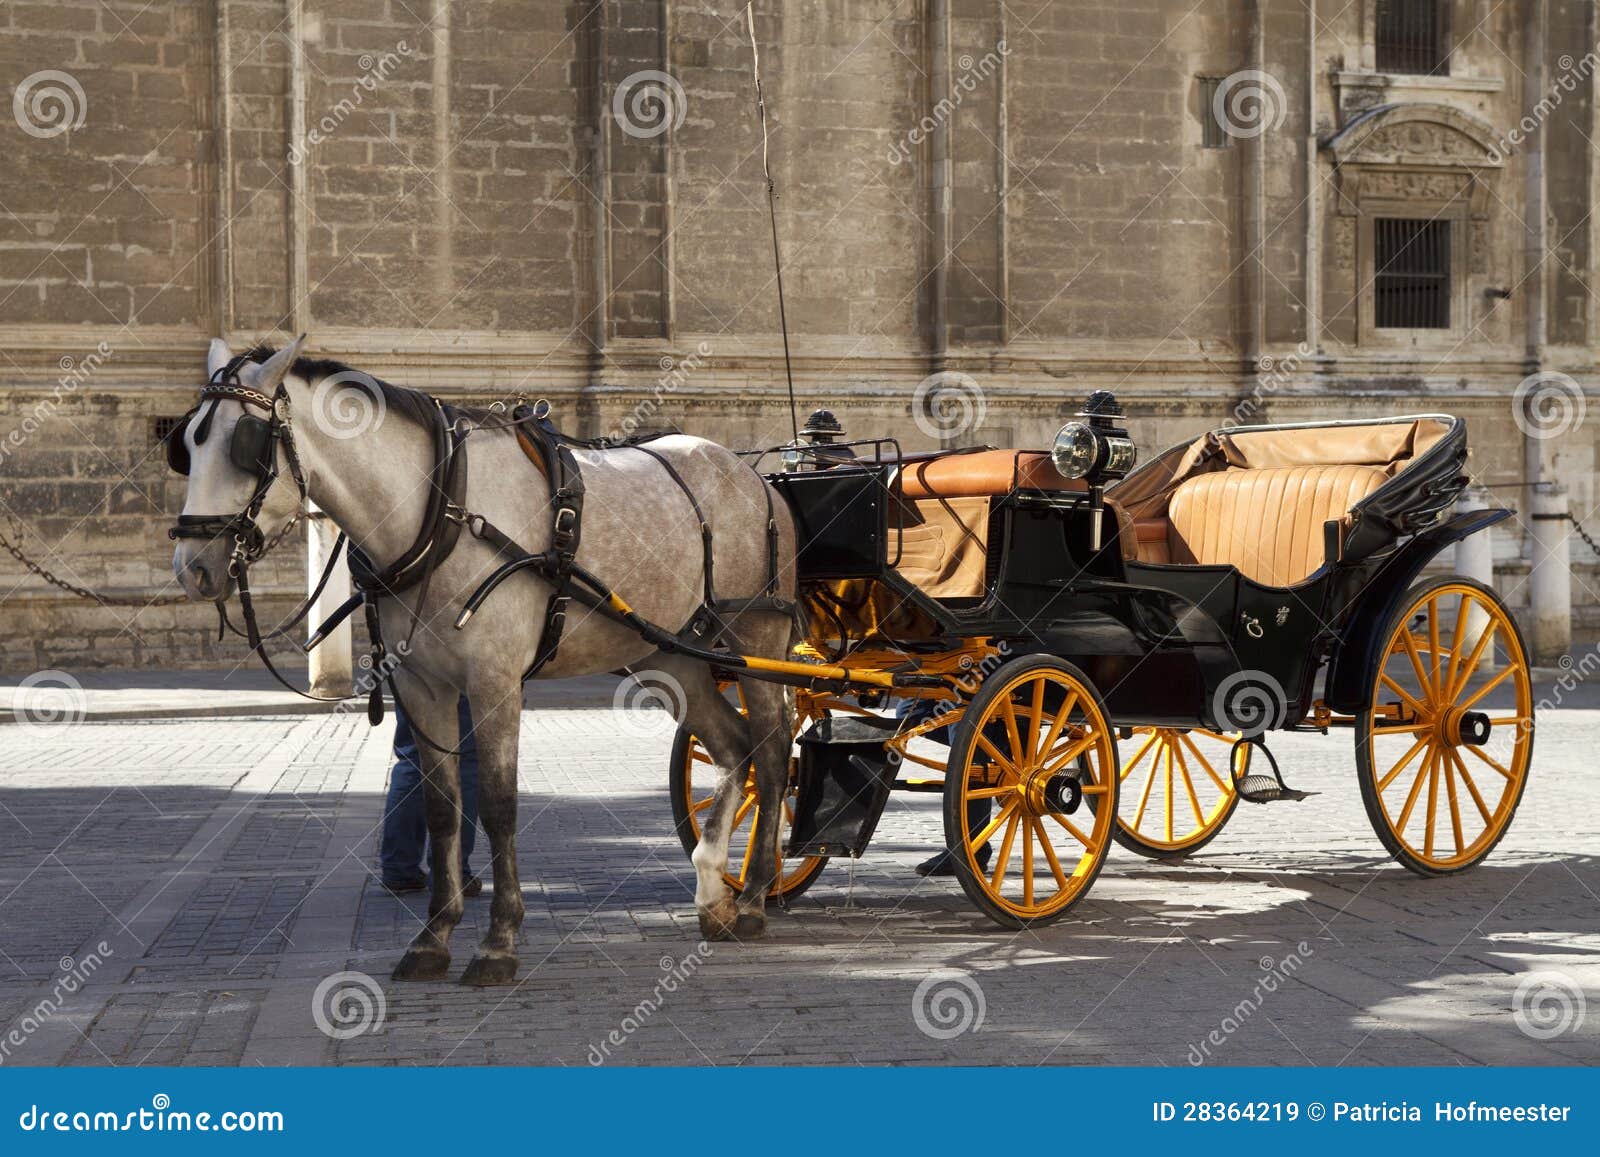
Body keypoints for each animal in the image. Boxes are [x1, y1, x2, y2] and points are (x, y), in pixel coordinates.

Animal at [169, 337, 799, 985]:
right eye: (186, 443)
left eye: (245, 444)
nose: (193, 568)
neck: (442, 509)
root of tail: (753, 474)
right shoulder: (422, 687)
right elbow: (442, 809)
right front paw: (434, 936)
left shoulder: (495, 682)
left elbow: (497, 806)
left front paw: (498, 941)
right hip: (671, 654)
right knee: (734, 747)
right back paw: (713, 893)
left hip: (756, 637)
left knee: (774, 749)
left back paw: (755, 897)